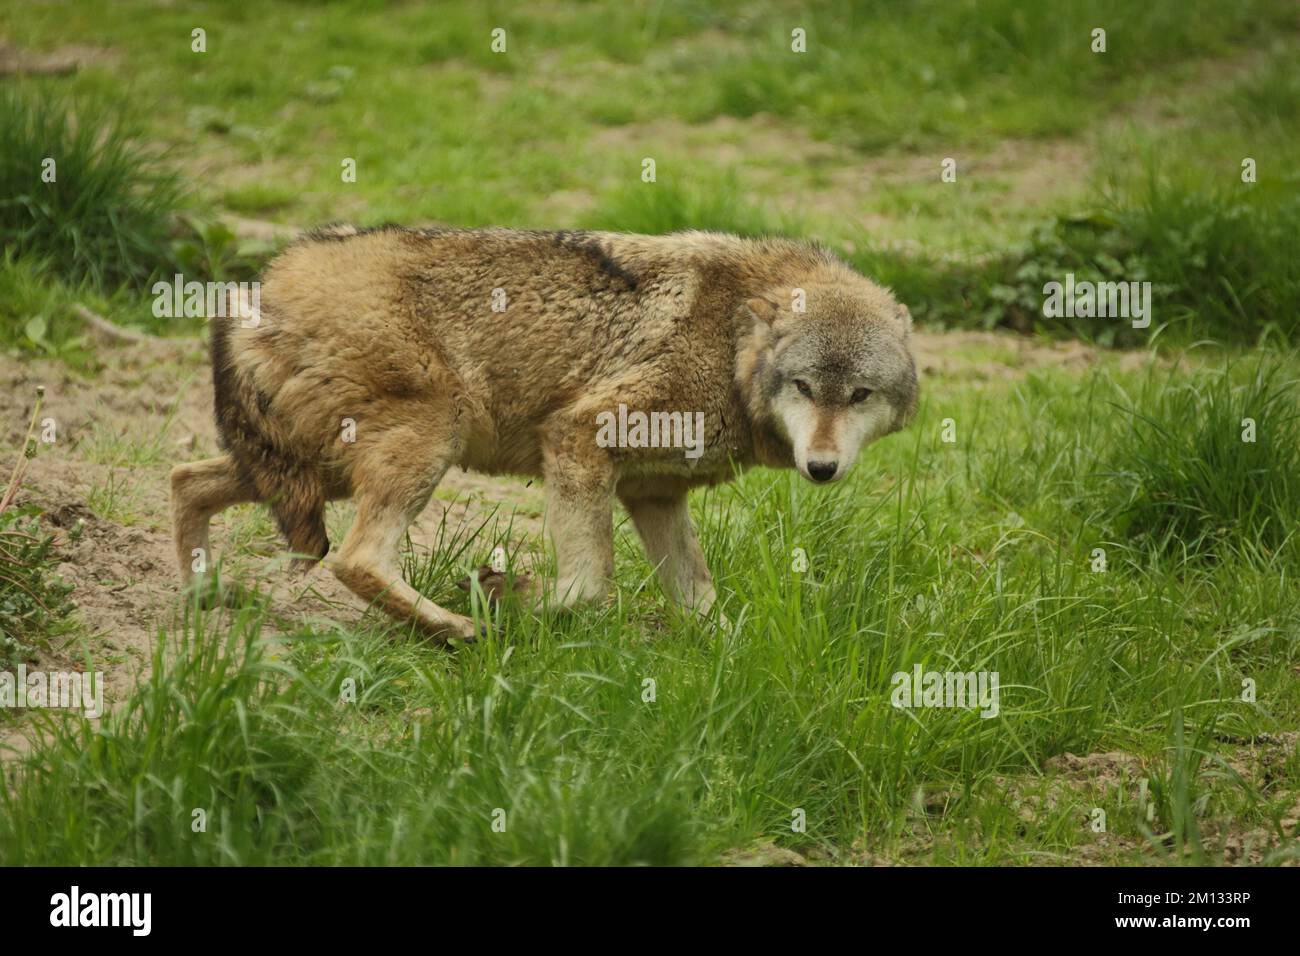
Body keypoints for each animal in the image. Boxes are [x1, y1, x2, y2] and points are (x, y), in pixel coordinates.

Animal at [170, 227, 919, 642]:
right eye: (804, 388)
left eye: (859, 395)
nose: (822, 468)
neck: (731, 340)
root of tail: (260, 284)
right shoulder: (580, 435)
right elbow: (589, 587)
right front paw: (515, 601)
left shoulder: (655, 495)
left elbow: (703, 602)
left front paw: (732, 664)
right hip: (424, 442)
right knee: (356, 560)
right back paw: (461, 629)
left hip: (311, 473)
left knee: (185, 481)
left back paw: (203, 600)